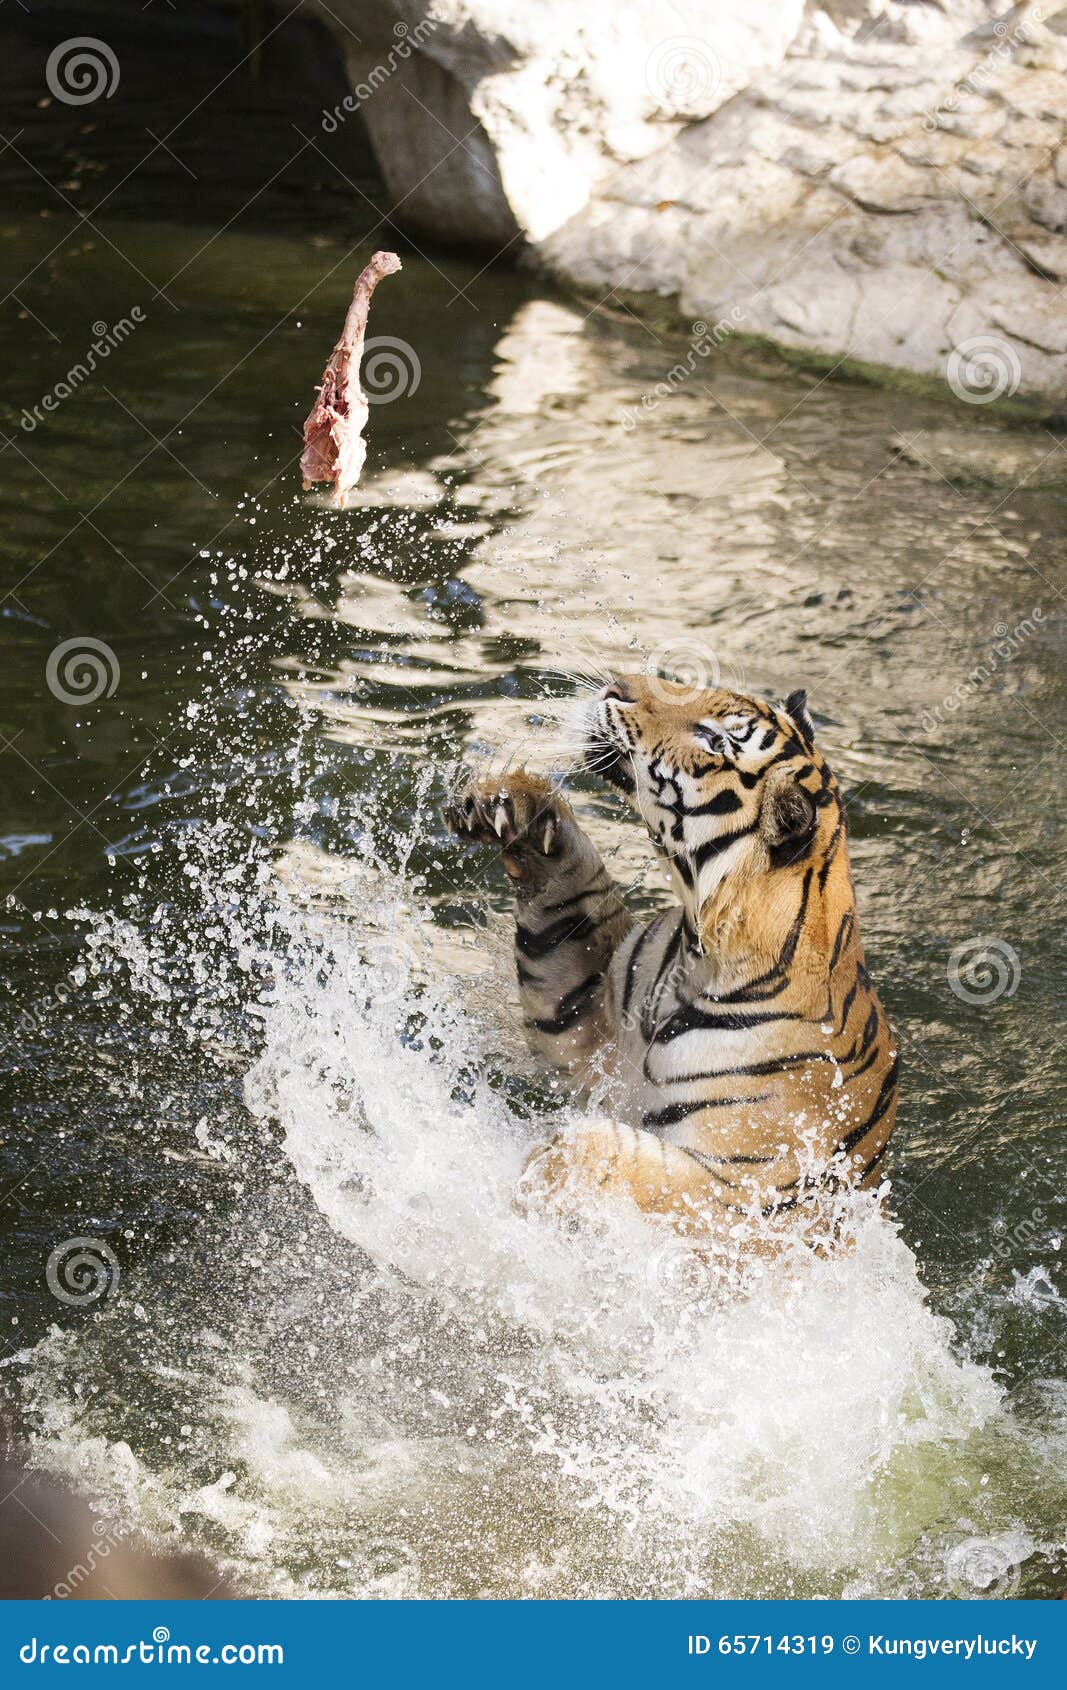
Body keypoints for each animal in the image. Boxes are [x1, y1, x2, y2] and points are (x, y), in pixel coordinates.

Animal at [445, 675, 898, 1249]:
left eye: (713, 739)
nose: (617, 686)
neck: (697, 953)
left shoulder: (741, 1197)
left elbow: (606, 1159)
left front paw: (537, 1180)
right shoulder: (591, 1032)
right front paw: (514, 806)